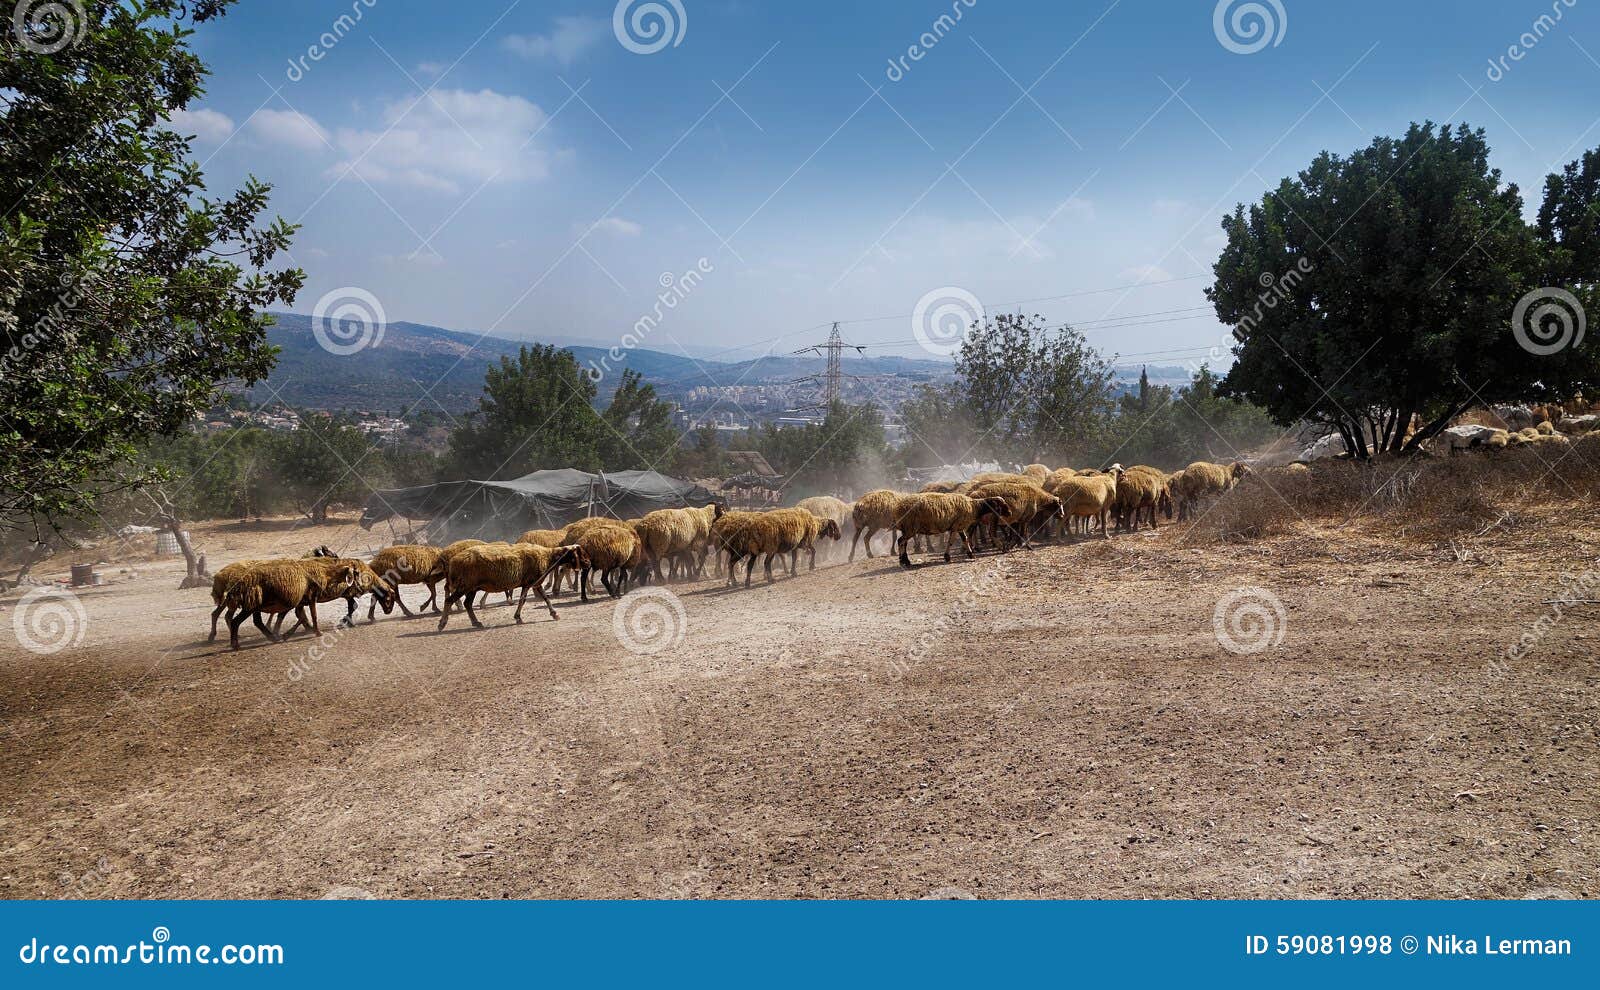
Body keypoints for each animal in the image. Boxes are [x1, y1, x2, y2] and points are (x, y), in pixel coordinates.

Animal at [438, 542, 588, 629]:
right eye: (580, 553)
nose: (588, 563)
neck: (548, 556)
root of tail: (453, 561)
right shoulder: (533, 581)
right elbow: (529, 600)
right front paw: (519, 618)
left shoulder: (531, 583)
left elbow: (539, 599)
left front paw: (553, 614)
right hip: (465, 585)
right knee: (449, 600)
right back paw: (442, 624)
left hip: (472, 587)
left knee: (468, 604)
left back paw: (476, 623)